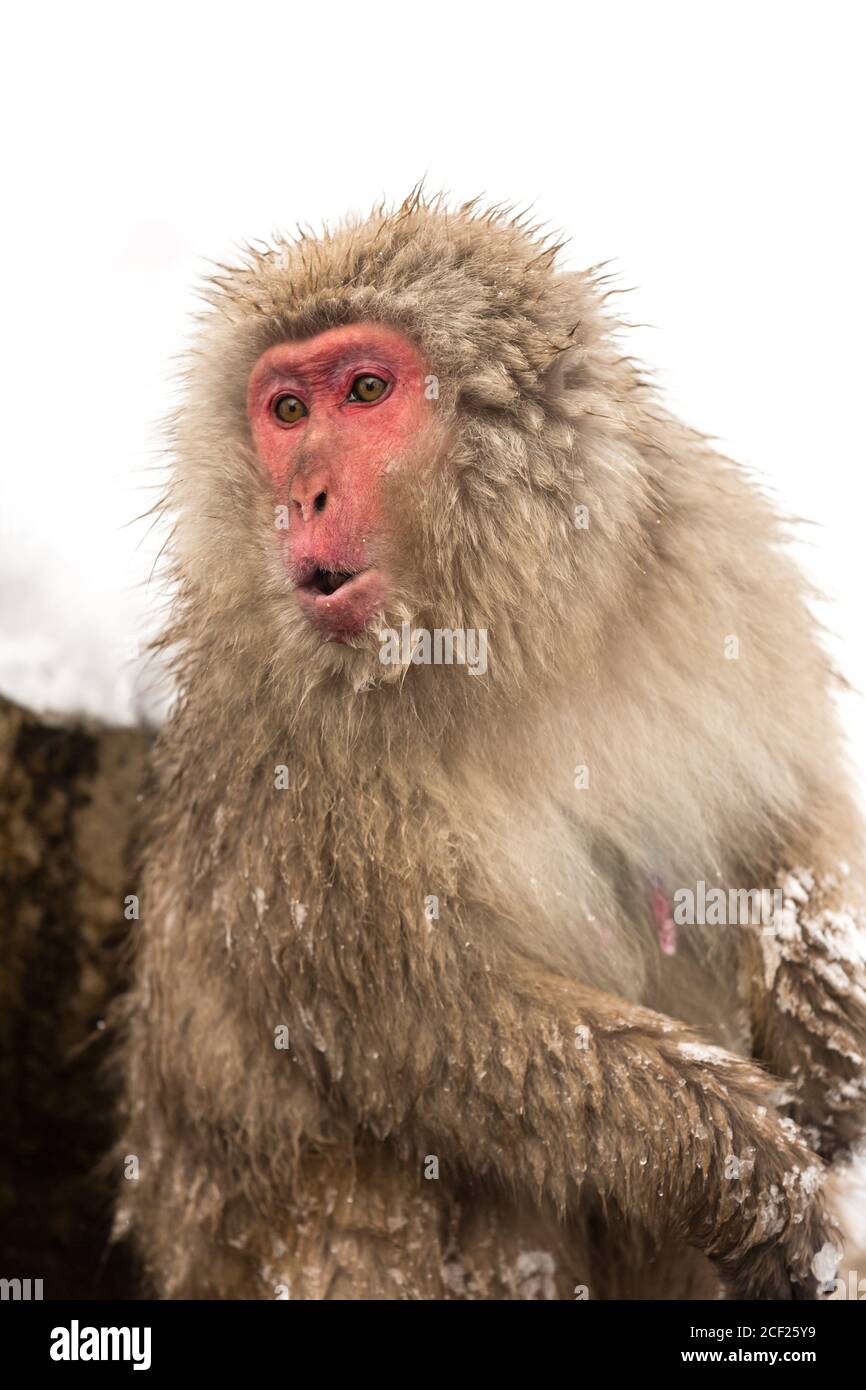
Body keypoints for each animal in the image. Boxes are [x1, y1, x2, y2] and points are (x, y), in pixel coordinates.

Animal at [115, 190, 866, 1301]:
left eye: (365, 390)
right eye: (286, 412)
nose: (302, 497)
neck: (498, 646)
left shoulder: (713, 569)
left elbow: (790, 818)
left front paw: (835, 1052)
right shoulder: (281, 756)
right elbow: (424, 1028)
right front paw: (745, 1168)